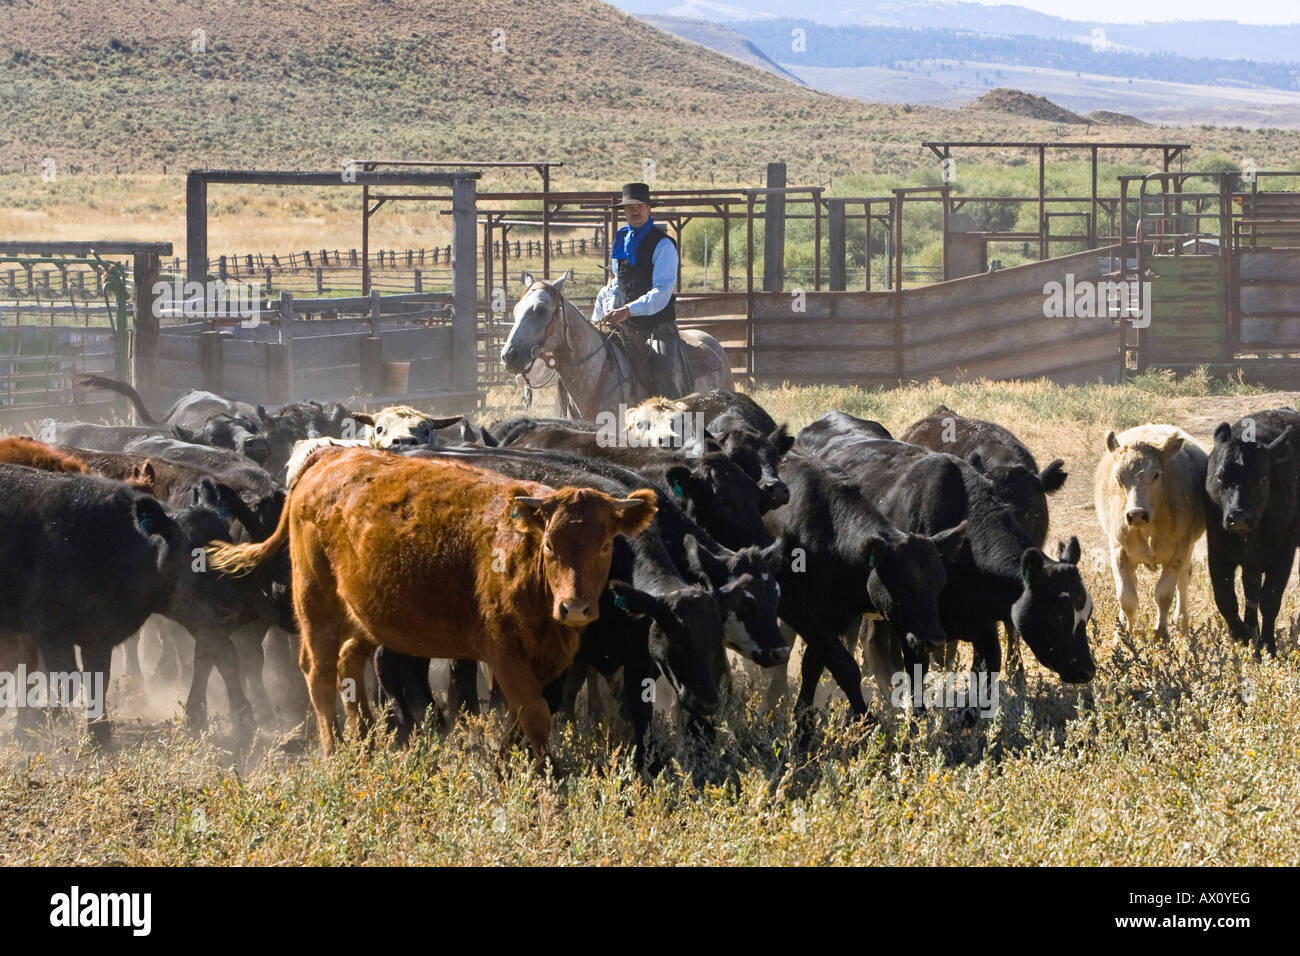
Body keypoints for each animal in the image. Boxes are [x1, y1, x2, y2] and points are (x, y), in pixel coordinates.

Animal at [204, 448, 658, 762]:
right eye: (549, 545)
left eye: (605, 546)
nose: (574, 608)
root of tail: (330, 457)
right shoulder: (503, 652)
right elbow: (534, 714)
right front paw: (546, 777)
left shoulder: (547, 660)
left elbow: (522, 714)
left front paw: (505, 759)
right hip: (317, 603)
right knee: (319, 673)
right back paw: (335, 751)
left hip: (366, 617)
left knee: (349, 662)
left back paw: (366, 739)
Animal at [1094, 425, 1207, 637]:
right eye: (1119, 478)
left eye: (1155, 475)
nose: (1137, 514)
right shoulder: (1118, 550)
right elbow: (1127, 599)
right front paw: (1125, 636)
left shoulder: (1179, 550)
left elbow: (1163, 595)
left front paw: (1160, 633)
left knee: (1183, 579)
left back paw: (1182, 624)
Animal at [1204, 409, 1300, 655]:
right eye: (1220, 477)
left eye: (1263, 479)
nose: (1238, 516)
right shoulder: (1217, 549)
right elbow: (1225, 598)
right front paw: (1244, 634)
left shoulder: (1283, 552)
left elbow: (1270, 599)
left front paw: (1267, 646)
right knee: (1250, 589)